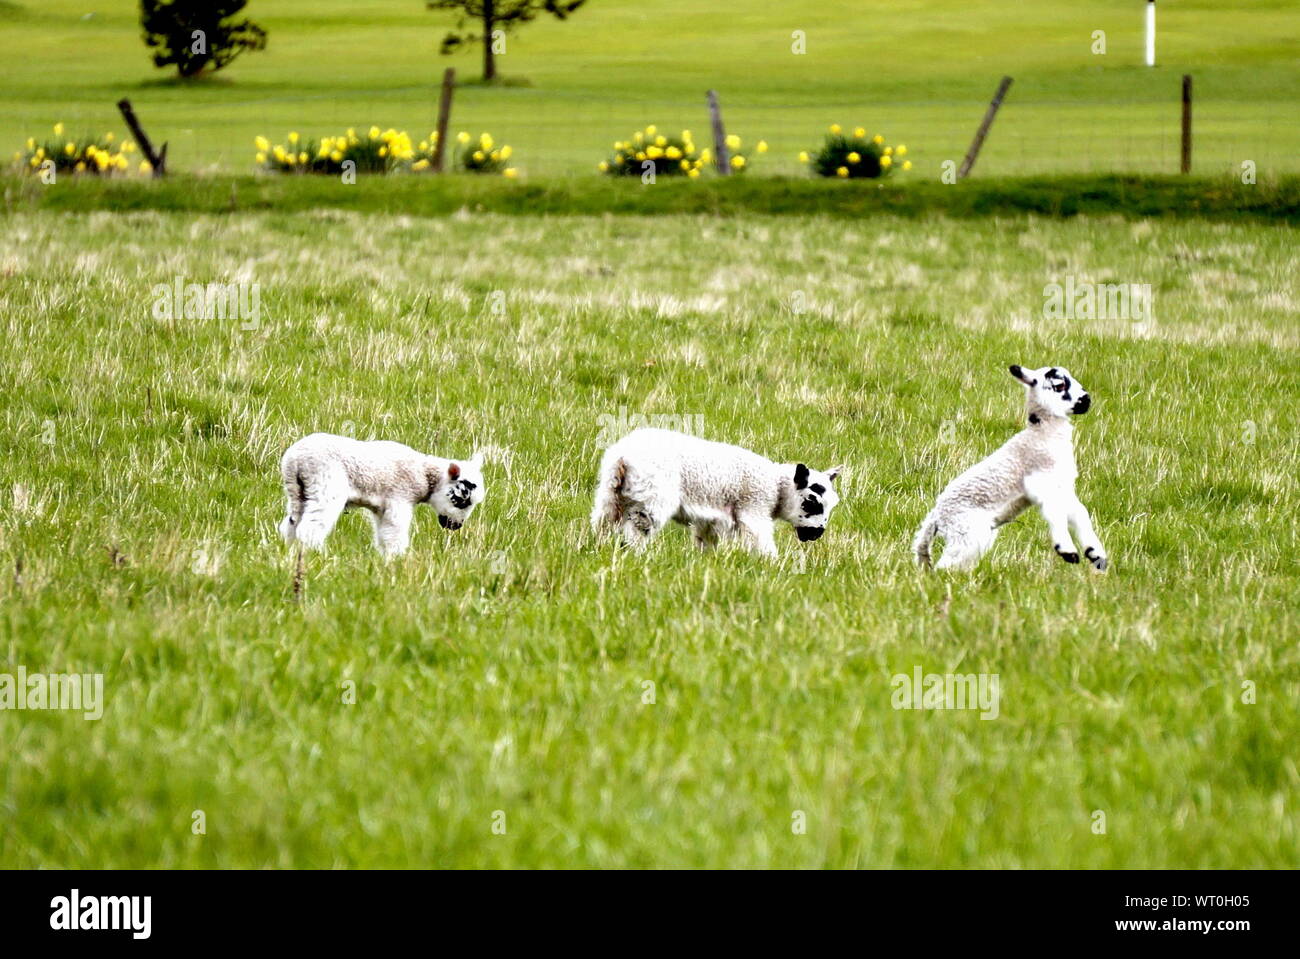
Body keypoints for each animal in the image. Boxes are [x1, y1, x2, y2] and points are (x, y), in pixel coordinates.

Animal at [278, 433, 485, 557]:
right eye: (460, 500)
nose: (455, 526)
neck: (423, 474)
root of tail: (295, 460)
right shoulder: (399, 498)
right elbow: (395, 531)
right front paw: (398, 558)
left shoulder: (381, 508)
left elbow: (384, 534)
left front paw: (386, 557)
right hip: (325, 485)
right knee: (310, 527)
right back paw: (320, 554)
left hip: (298, 492)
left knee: (290, 525)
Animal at [591, 427, 844, 557]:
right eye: (811, 502)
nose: (817, 534)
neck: (775, 486)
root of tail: (622, 456)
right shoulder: (753, 509)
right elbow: (761, 539)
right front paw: (772, 564)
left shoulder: (711, 519)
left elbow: (706, 539)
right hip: (653, 496)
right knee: (638, 529)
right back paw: (637, 554)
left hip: (612, 492)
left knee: (603, 520)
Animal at [913, 365, 1107, 572]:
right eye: (1060, 385)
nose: (1087, 399)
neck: (1042, 434)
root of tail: (936, 517)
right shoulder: (1041, 481)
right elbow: (1055, 512)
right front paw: (1067, 551)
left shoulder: (1063, 487)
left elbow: (1080, 513)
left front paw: (1096, 554)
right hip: (966, 532)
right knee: (946, 565)